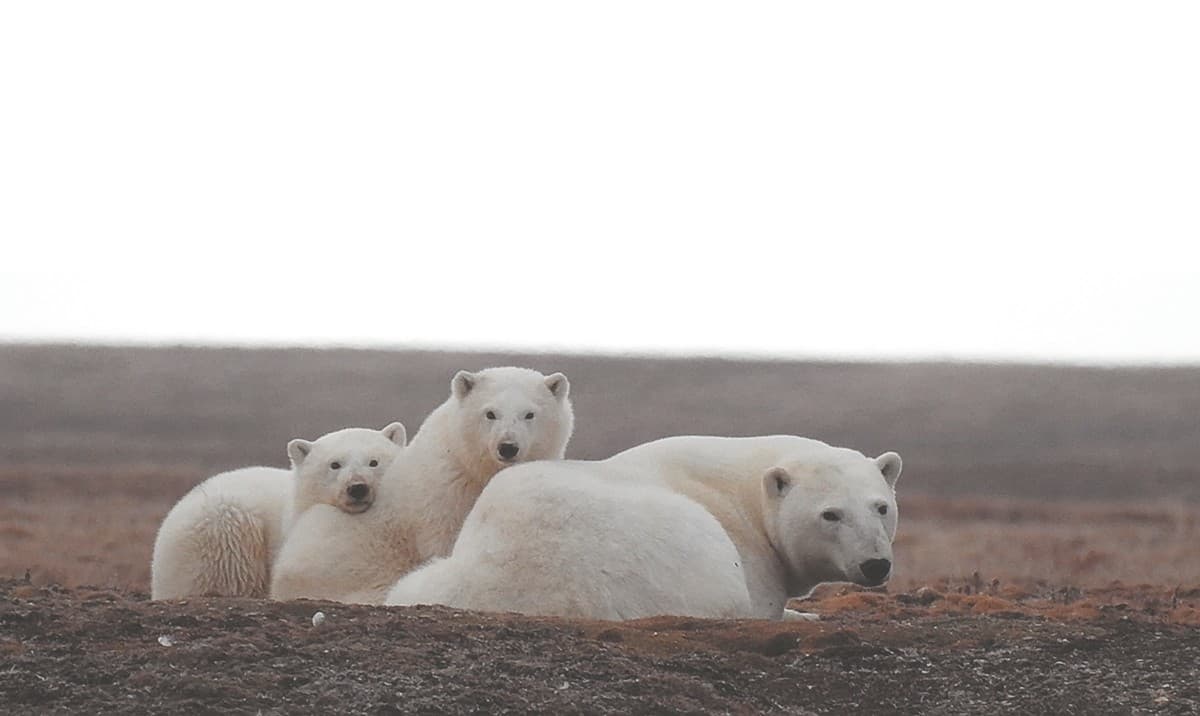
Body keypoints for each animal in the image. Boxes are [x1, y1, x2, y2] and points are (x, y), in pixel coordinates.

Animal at [269, 366, 574, 603]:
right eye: (490, 413)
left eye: (529, 414)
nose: (508, 447)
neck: (473, 467)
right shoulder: (445, 495)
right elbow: (443, 542)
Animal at [384, 435, 902, 620]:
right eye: (831, 514)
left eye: (881, 507)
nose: (875, 565)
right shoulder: (748, 551)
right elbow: (763, 606)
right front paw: (801, 614)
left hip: (439, 572)